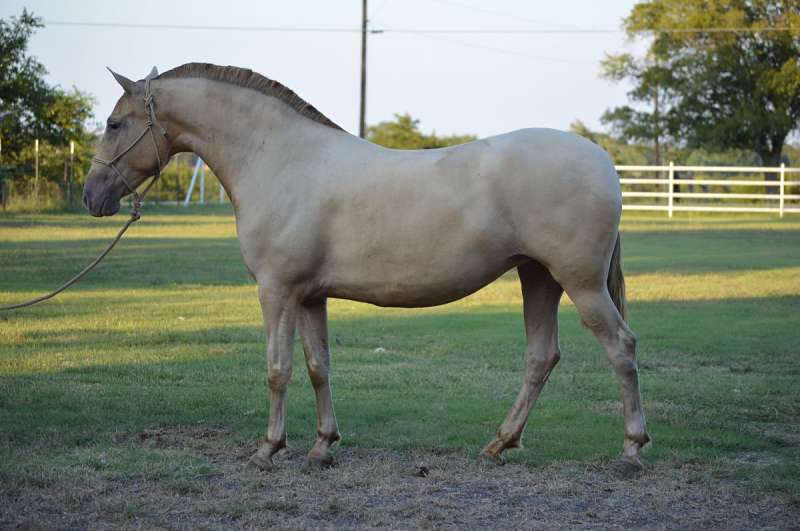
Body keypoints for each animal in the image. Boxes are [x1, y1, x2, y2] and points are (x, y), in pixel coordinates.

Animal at [83, 63, 650, 471]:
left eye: (114, 123)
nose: (92, 196)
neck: (280, 159)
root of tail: (602, 161)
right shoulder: (310, 296)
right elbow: (318, 366)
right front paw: (322, 447)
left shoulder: (277, 291)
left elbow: (278, 369)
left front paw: (268, 450)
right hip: (538, 278)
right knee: (540, 357)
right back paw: (499, 444)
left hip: (580, 283)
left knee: (621, 348)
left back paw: (630, 450)